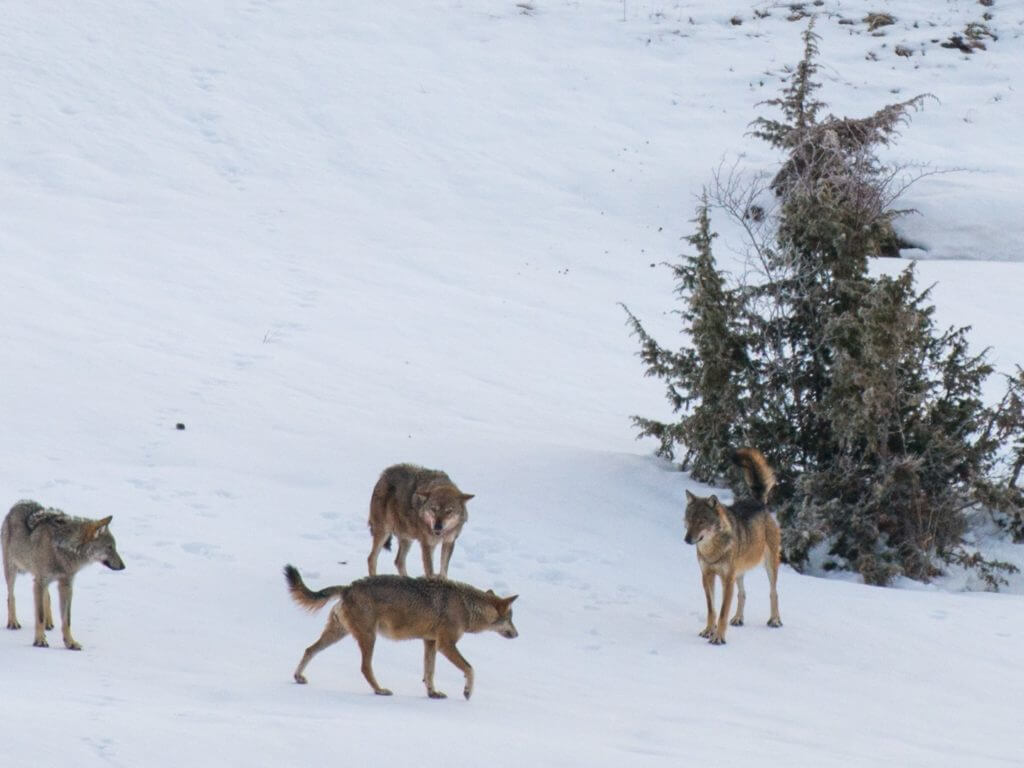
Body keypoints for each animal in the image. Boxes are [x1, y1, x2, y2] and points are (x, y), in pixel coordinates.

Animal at [2, 500, 126, 650]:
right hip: (12, 571)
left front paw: (70, 643)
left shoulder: (66, 585)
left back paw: (49, 623)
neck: (63, 549)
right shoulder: (40, 581)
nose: (123, 566)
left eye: (114, 547)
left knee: (47, 597)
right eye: (109, 547)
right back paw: (13, 622)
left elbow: (67, 619)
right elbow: (40, 616)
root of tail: (20, 503)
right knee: (11, 596)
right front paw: (39, 640)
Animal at [284, 565, 517, 699]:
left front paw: (432, 693)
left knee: (309, 650)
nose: (517, 634)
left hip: (338, 634)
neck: (466, 605)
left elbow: (429, 672)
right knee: (364, 667)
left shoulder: (430, 643)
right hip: (369, 638)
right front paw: (467, 692)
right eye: (511, 619)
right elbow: (470, 668)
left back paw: (298, 677)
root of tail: (348, 587)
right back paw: (380, 690)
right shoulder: (445, 645)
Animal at [683, 448, 782, 645]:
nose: (687, 539)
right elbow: (712, 609)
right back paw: (738, 619)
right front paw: (708, 631)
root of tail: (758, 502)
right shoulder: (707, 576)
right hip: (739, 572)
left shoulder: (726, 579)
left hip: (769, 565)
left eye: (702, 521)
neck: (712, 550)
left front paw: (718, 638)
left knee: (773, 592)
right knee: (743, 594)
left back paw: (775, 620)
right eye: (688, 520)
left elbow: (722, 612)